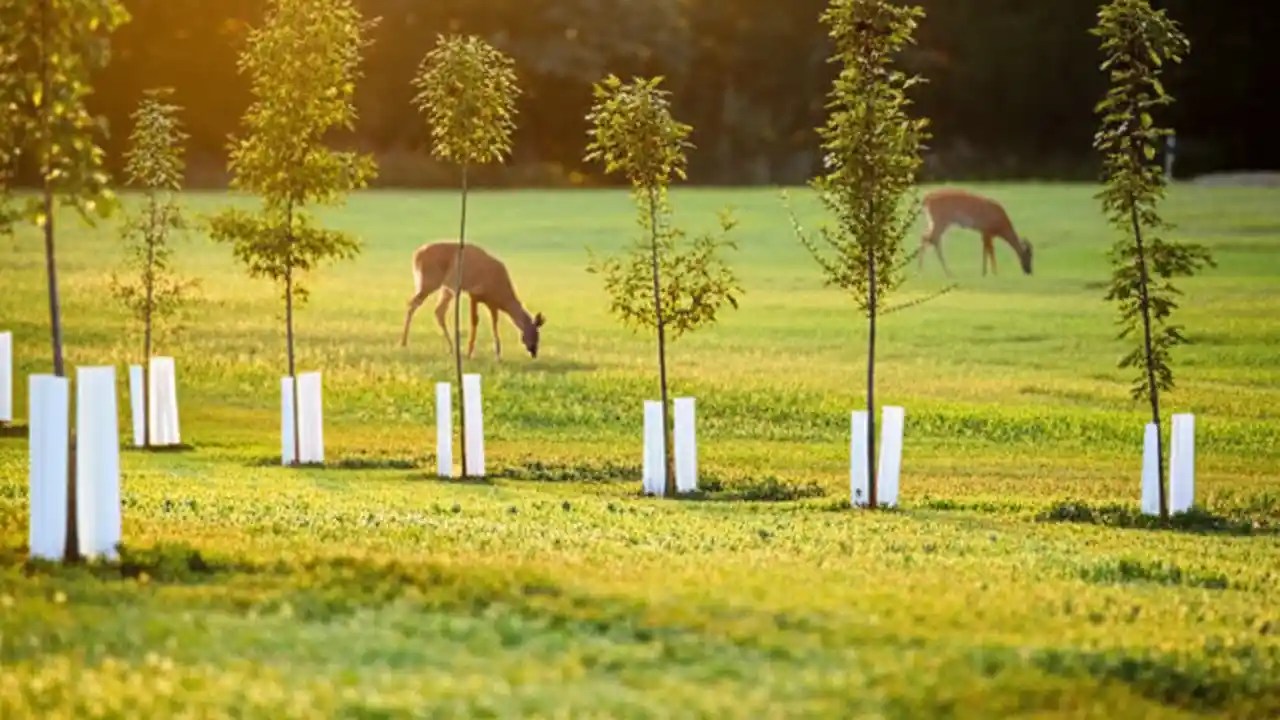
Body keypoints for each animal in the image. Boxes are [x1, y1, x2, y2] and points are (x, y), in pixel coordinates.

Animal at [400, 241, 546, 360]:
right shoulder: (474, 294)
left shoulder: (492, 303)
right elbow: (474, 321)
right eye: (535, 333)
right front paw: (470, 353)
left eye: (538, 335)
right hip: (429, 281)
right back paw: (403, 343)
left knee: (439, 311)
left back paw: (452, 348)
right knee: (412, 304)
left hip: (446, 288)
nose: (534, 352)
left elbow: (494, 324)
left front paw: (498, 355)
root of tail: (416, 254)